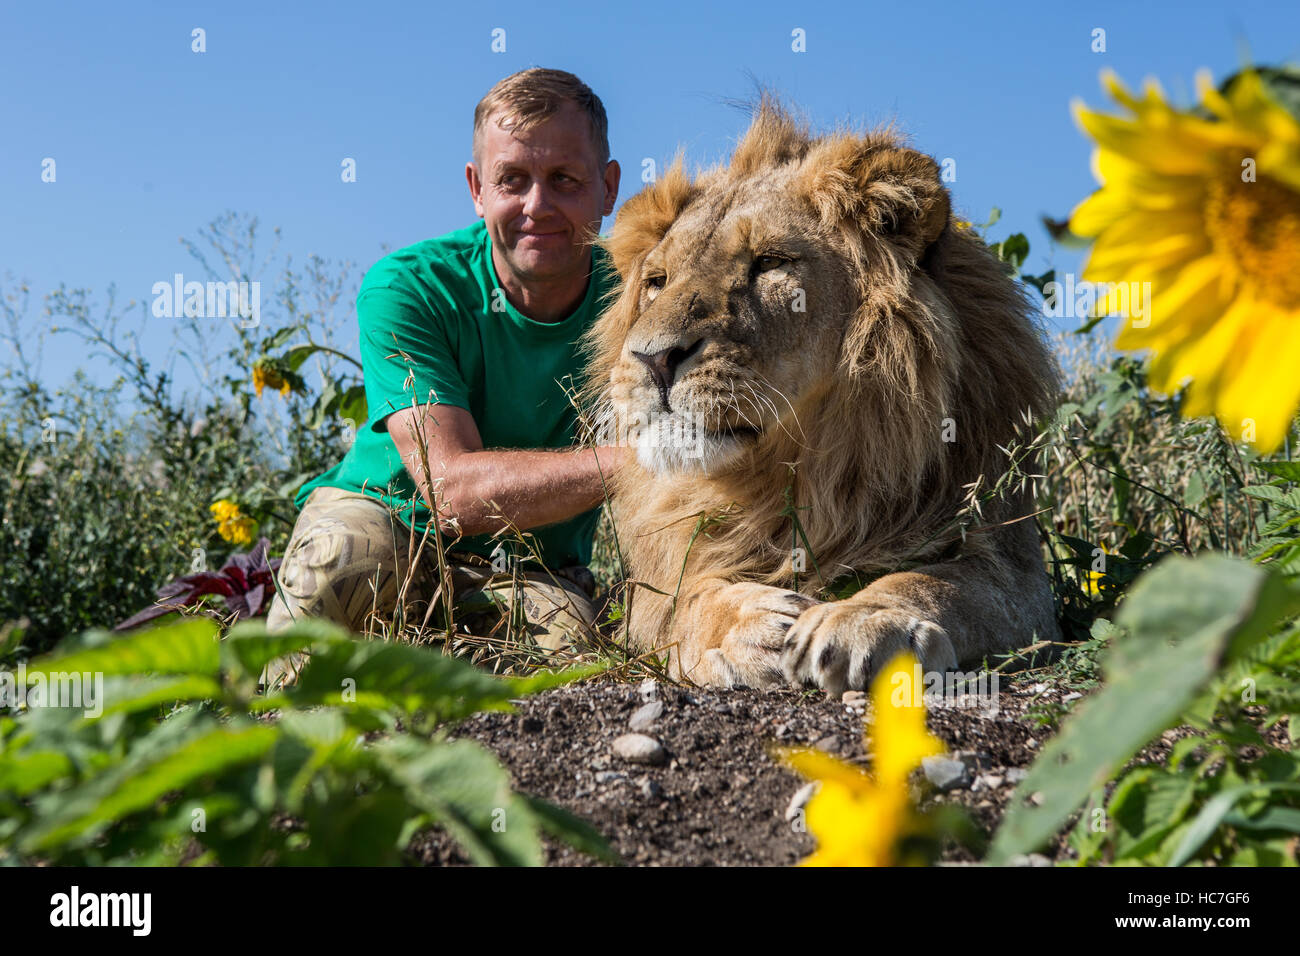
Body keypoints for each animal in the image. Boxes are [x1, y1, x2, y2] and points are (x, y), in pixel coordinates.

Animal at [578, 99, 1062, 696]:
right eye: (656, 281)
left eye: (770, 263)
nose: (651, 359)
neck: (799, 473)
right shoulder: (649, 596)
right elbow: (685, 601)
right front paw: (747, 626)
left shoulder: (1015, 571)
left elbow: (934, 583)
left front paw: (865, 620)